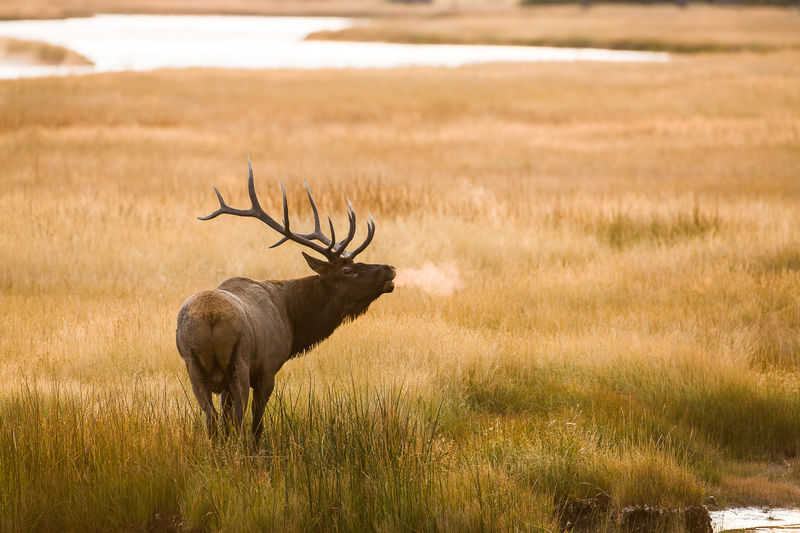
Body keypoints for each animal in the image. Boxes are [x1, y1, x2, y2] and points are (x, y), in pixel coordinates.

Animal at [176, 159, 396, 441]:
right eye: (347, 270)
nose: (390, 269)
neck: (293, 321)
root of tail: (210, 317)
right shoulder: (268, 369)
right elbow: (257, 424)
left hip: (193, 366)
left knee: (212, 419)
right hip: (239, 362)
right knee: (238, 418)